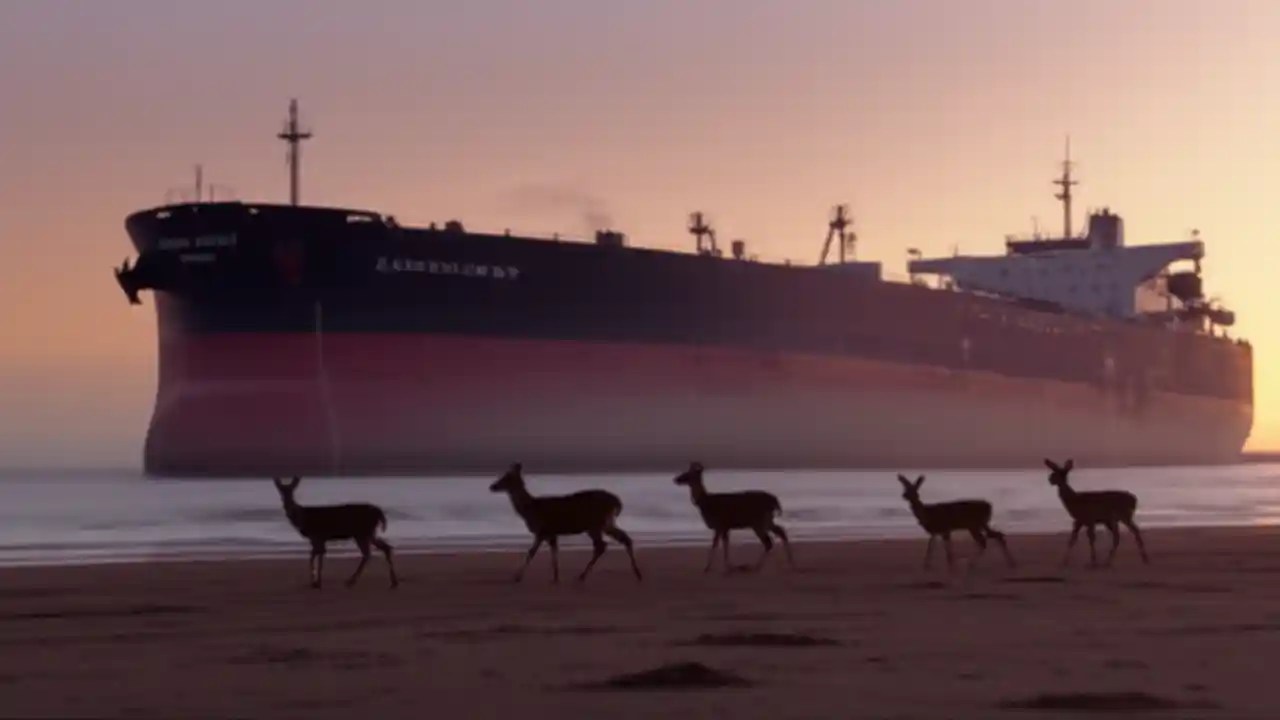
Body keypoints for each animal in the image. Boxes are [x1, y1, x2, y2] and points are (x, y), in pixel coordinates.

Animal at [489, 463, 642, 583]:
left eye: (506, 477)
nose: (492, 486)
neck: (530, 509)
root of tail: (617, 502)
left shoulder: (542, 530)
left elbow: (531, 552)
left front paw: (517, 577)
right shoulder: (551, 533)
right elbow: (554, 552)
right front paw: (556, 577)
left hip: (595, 524)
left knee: (602, 545)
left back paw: (581, 576)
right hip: (606, 523)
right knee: (623, 539)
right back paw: (637, 574)